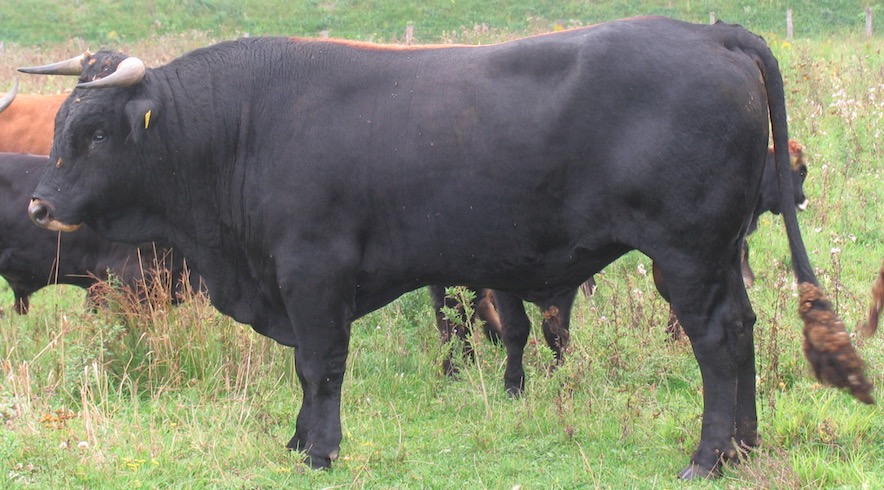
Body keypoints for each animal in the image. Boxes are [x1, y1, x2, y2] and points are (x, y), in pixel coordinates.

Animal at [20, 17, 872, 479]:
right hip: (722, 252)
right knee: (746, 330)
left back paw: (708, 455)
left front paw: (320, 449)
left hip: (687, 255)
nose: (38, 204)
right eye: (61, 125)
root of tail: (712, 32)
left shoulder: (314, 273)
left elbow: (320, 365)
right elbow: (306, 371)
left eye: (97, 133)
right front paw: (296, 438)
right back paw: (745, 451)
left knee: (719, 343)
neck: (241, 127)